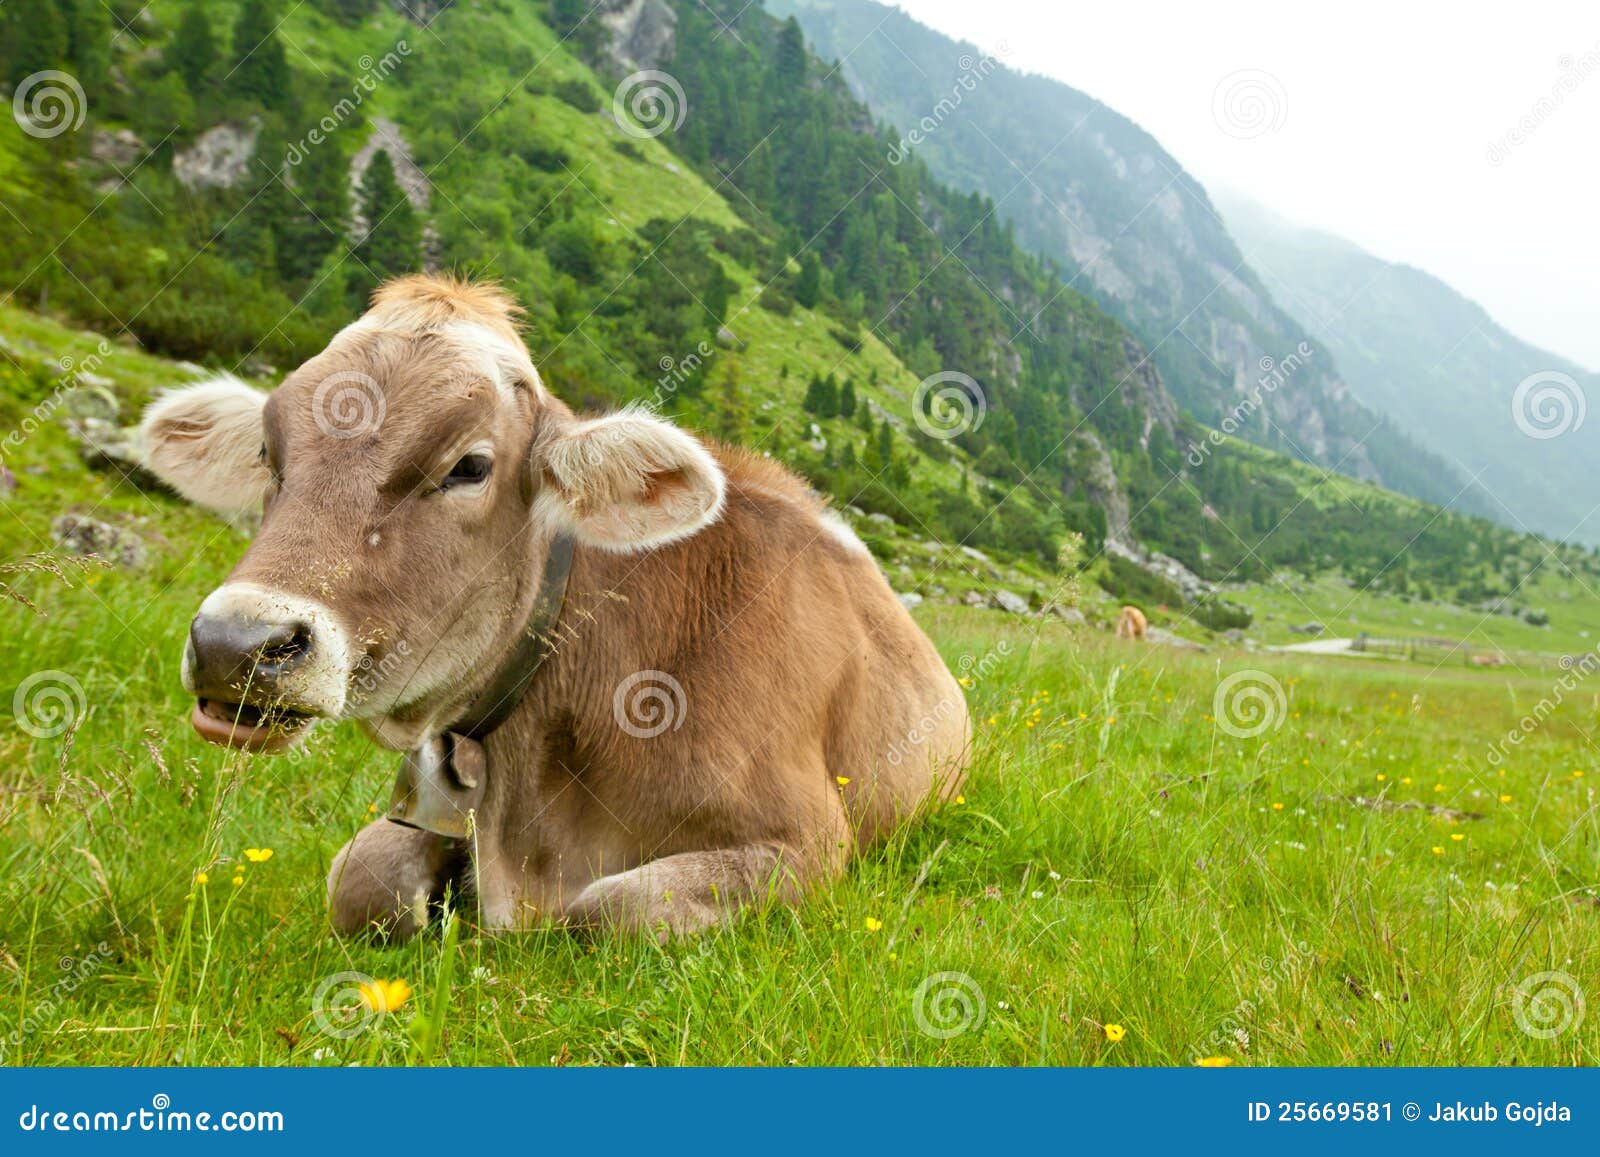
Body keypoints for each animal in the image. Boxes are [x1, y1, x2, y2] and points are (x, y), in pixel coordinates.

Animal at [138, 276, 969, 940]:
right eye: (268, 454)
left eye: (470, 465)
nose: (234, 642)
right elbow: (360, 876)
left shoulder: (808, 841)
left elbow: (610, 908)